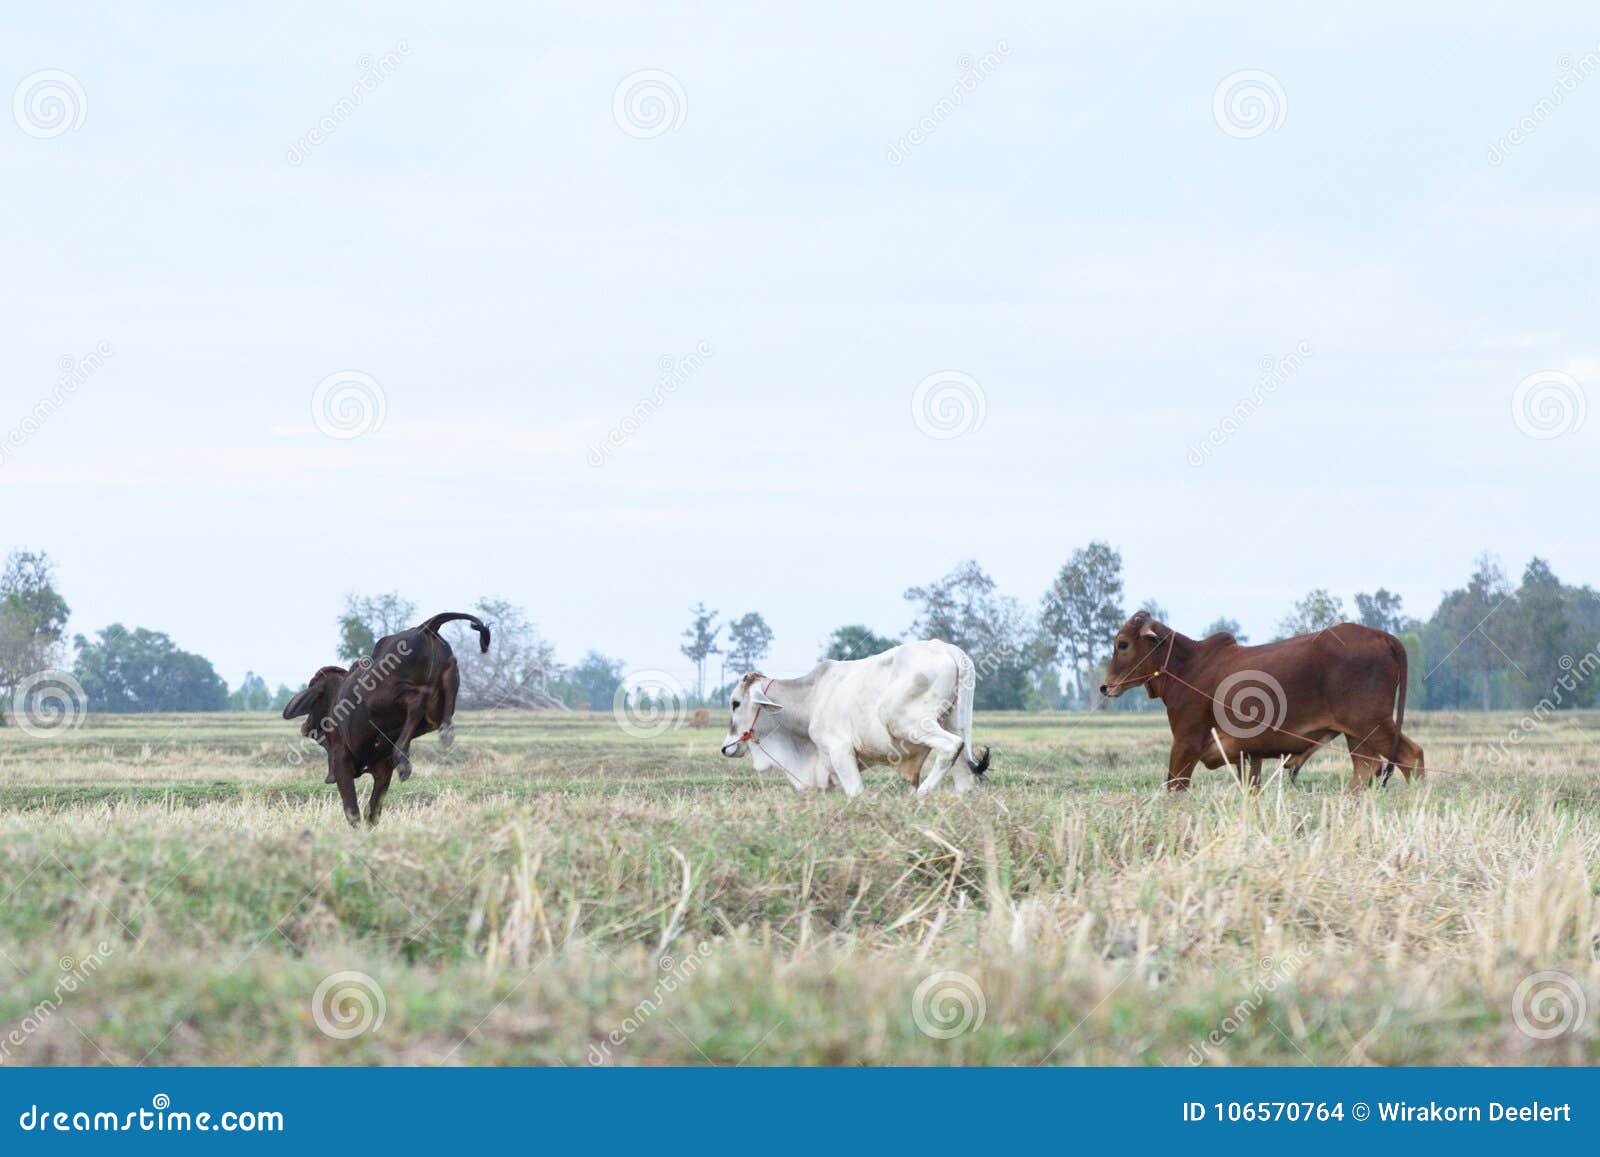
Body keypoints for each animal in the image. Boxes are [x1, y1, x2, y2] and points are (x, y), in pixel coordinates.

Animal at [283, 611, 491, 825]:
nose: (306, 726)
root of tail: (423, 628)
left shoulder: (342, 763)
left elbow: (353, 812)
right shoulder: (382, 771)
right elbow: (372, 812)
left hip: (382, 697)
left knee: (417, 699)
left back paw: (402, 757)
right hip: (441, 690)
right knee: (444, 700)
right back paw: (443, 734)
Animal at [719, 639, 991, 796]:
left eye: (735, 703)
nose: (725, 748)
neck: (812, 697)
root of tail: (949, 649)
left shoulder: (840, 750)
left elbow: (855, 793)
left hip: (907, 723)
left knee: (950, 746)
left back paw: (921, 794)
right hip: (954, 723)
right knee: (963, 774)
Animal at [1098, 611, 1422, 792]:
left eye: (1122, 644)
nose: (1105, 687)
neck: (1187, 667)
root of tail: (1383, 637)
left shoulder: (1186, 742)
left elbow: (1174, 788)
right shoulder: (1246, 756)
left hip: (1373, 724)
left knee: (1412, 757)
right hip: (1358, 734)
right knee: (1366, 769)